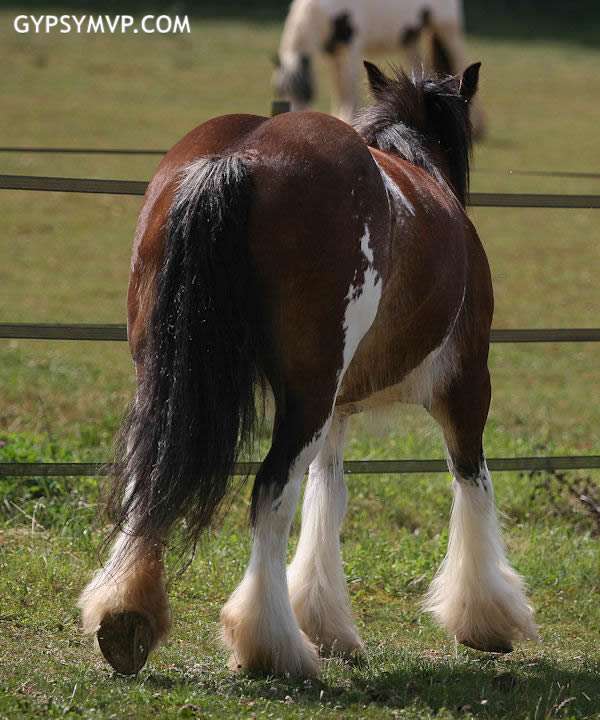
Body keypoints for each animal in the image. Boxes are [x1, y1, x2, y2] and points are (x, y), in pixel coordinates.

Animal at [78, 60, 536, 678]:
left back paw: (125, 616)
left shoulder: (339, 407)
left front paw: (324, 620)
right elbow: (473, 483)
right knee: (270, 495)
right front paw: (486, 616)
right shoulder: (465, 385)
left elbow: (329, 494)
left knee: (146, 474)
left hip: (167, 377)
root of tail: (238, 156)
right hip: (310, 395)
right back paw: (271, 644)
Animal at [273, 0, 486, 139]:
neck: (324, 9)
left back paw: (478, 128)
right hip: (411, 39)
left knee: (460, 60)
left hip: (447, 29)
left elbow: (348, 85)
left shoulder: (352, 46)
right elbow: (339, 87)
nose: (290, 124)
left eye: (305, 91)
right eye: (281, 90)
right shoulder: (333, 53)